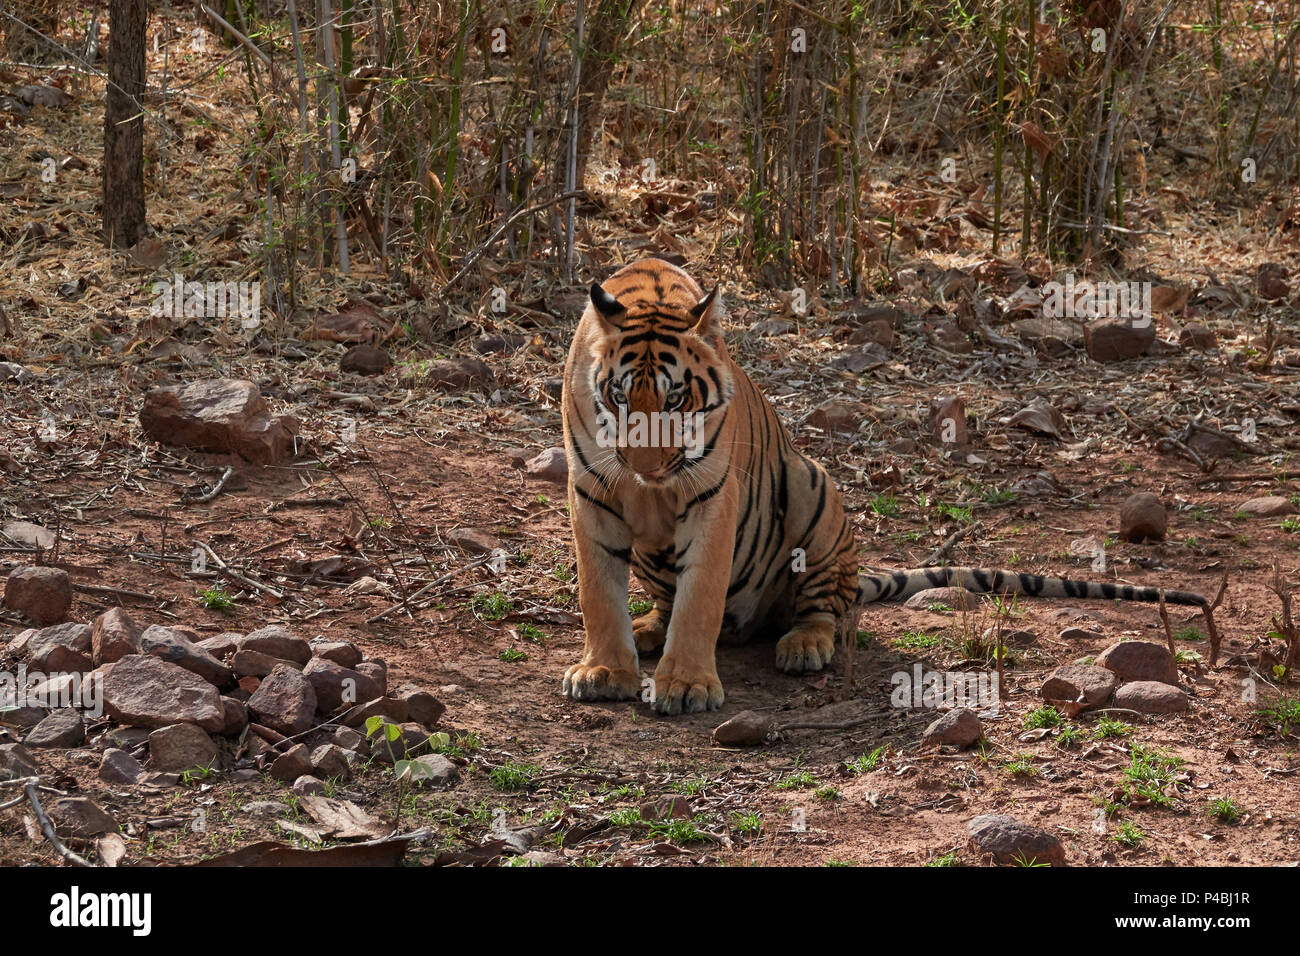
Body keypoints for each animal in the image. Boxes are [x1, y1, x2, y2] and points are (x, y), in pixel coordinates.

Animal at [560, 258, 1207, 715]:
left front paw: (686, 685)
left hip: (812, 489)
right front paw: (605, 671)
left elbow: (700, 600)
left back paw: (803, 646)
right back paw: (649, 629)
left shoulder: (712, 496)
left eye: (675, 400)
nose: (646, 467)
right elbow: (599, 593)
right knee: (669, 601)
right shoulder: (591, 493)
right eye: (620, 397)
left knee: (824, 609)